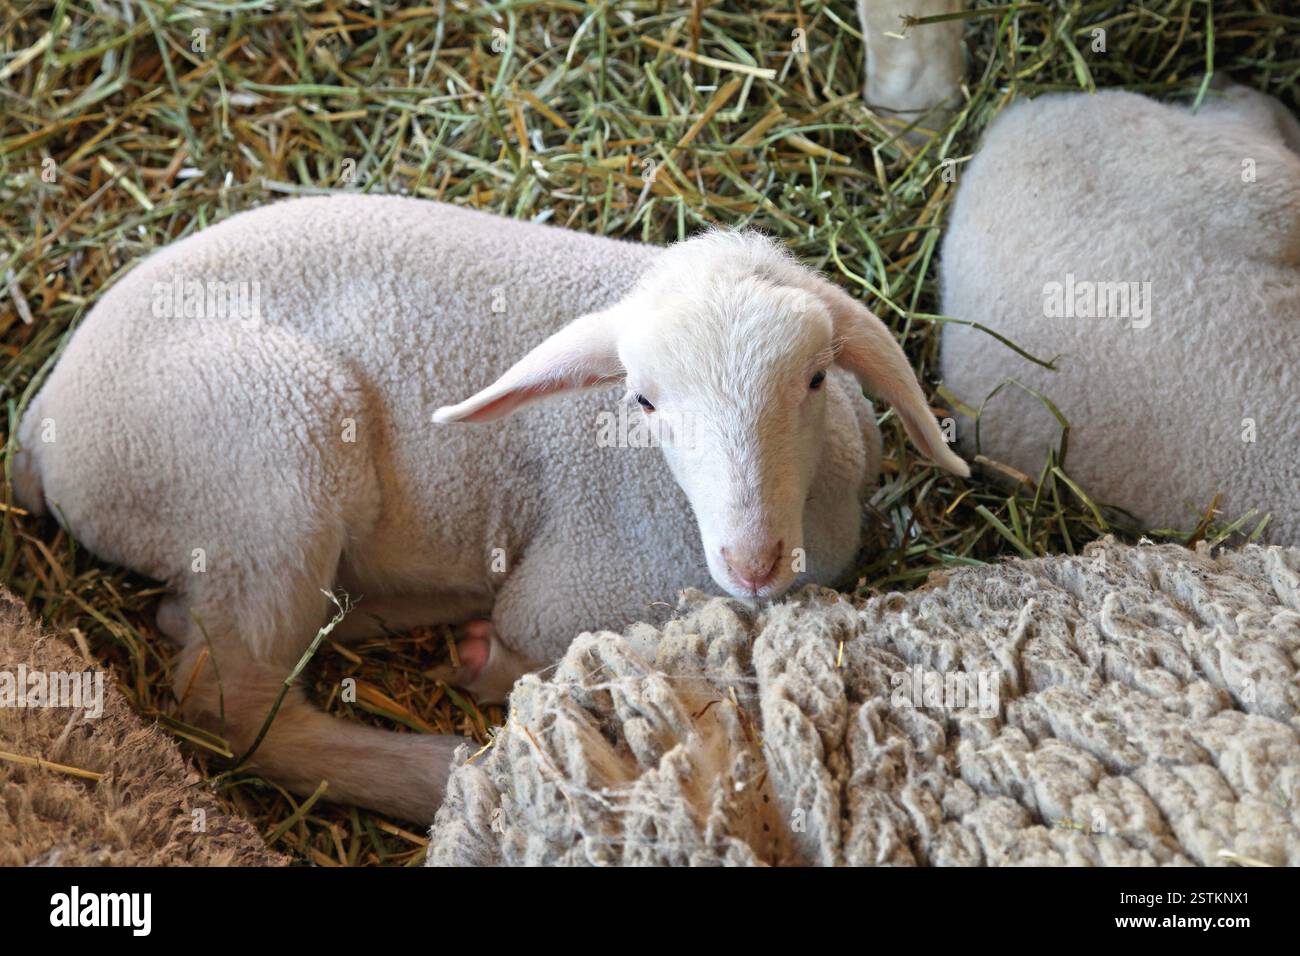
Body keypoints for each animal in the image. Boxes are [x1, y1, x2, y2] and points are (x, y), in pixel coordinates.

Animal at [13, 196, 967, 821]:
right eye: (644, 400)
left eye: (814, 379)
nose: (753, 562)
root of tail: (44, 418)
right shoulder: (576, 589)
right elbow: (523, 643)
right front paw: (479, 668)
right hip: (272, 453)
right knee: (226, 701)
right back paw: (432, 768)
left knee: (203, 629)